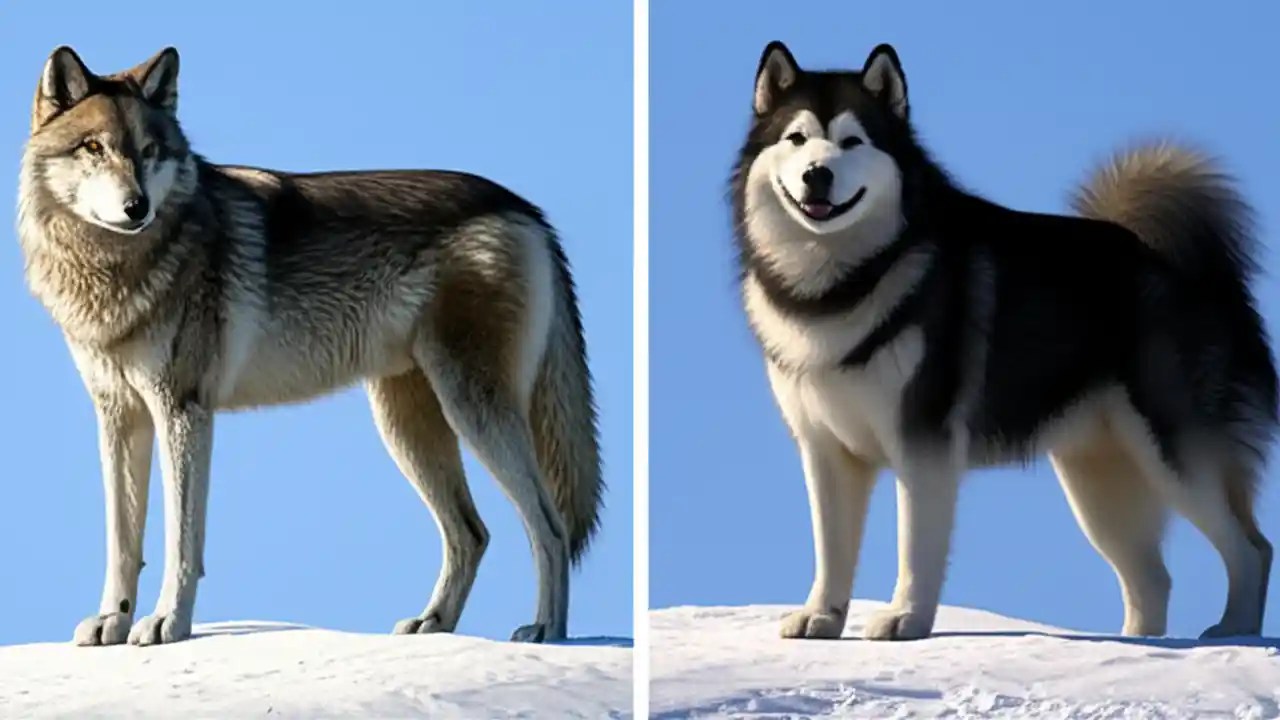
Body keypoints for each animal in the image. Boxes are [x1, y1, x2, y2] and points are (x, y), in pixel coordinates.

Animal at [18, 46, 603, 646]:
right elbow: (121, 541)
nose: (137, 207)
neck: (115, 271)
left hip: (470, 409)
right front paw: (113, 622)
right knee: (472, 532)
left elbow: (182, 541)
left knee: (550, 526)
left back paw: (547, 632)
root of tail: (528, 210)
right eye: (94, 147)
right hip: (407, 424)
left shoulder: (183, 410)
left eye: (150, 151)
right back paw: (432, 624)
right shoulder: (119, 415)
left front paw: (166, 624)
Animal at [732, 40, 1276, 641]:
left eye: (853, 141)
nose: (818, 175)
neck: (840, 287)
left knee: (1252, 549)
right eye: (796, 138)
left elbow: (915, 546)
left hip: (1175, 450)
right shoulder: (825, 448)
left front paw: (905, 619)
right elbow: (831, 549)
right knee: (1152, 580)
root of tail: (1190, 266)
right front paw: (822, 618)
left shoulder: (923, 442)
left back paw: (1236, 633)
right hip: (1097, 479)